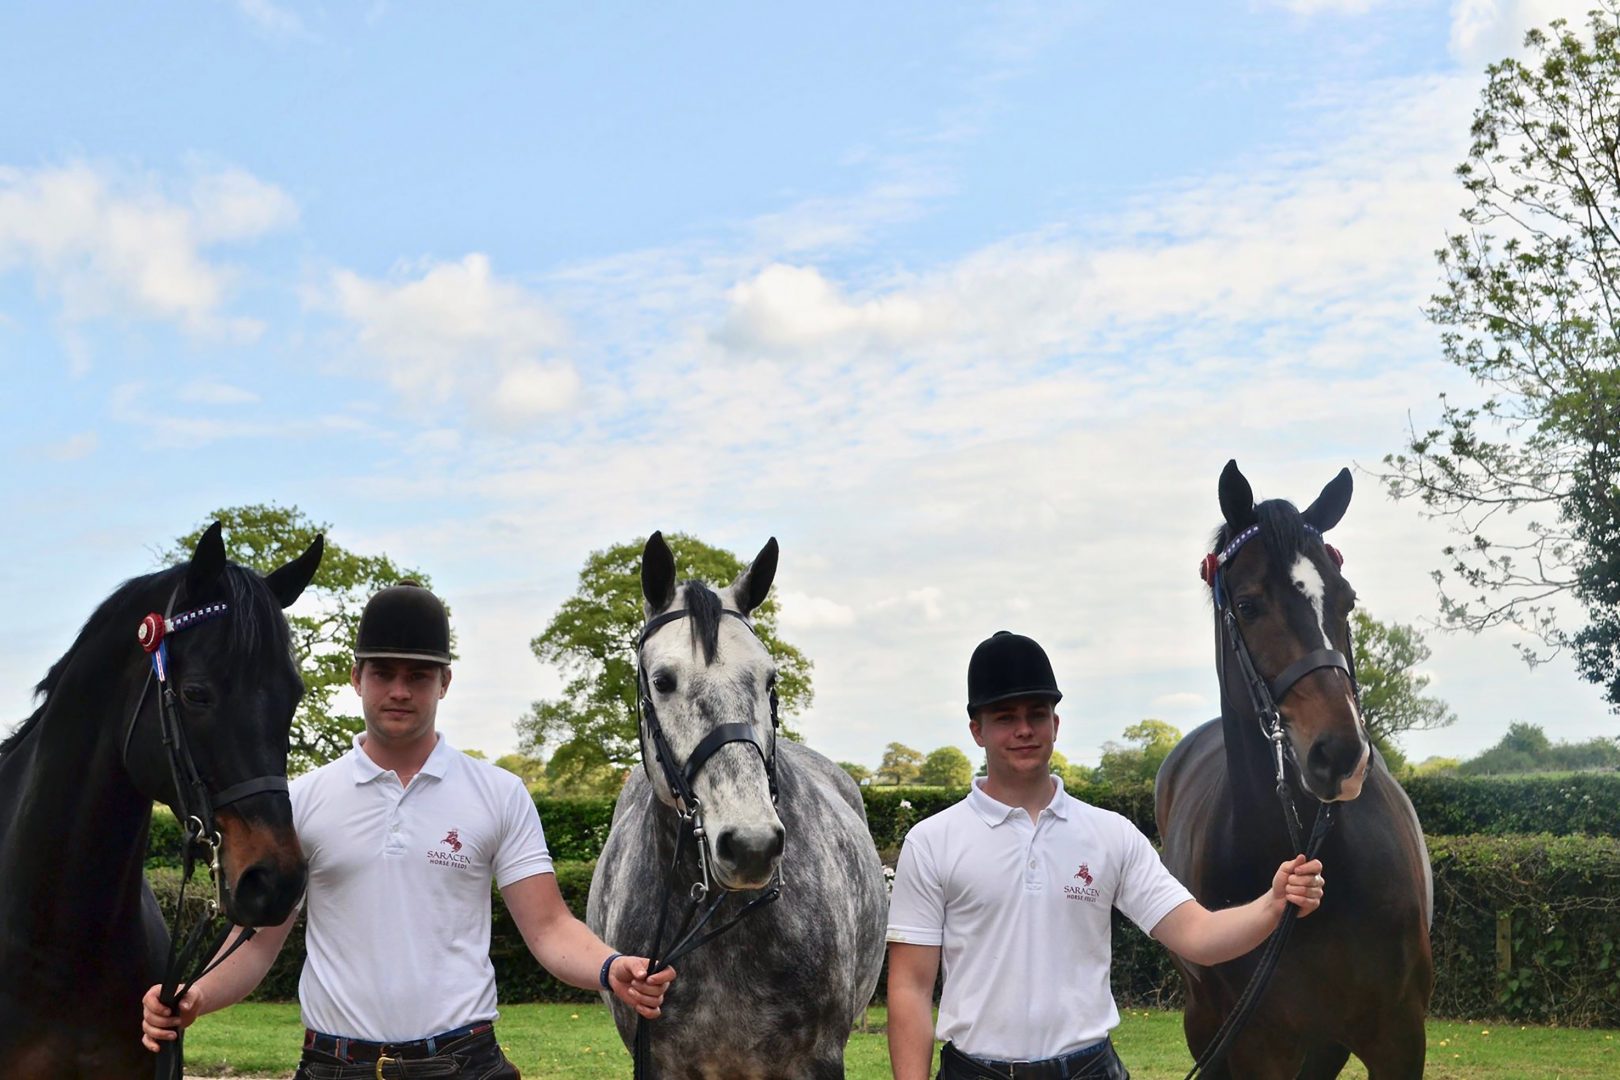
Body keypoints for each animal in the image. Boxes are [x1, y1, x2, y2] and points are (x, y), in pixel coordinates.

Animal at [1155, 461, 1433, 1079]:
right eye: (1249, 604)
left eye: (1346, 601)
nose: (1340, 754)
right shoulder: (1259, 1045)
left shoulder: (1399, 1037)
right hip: (1207, 1026)